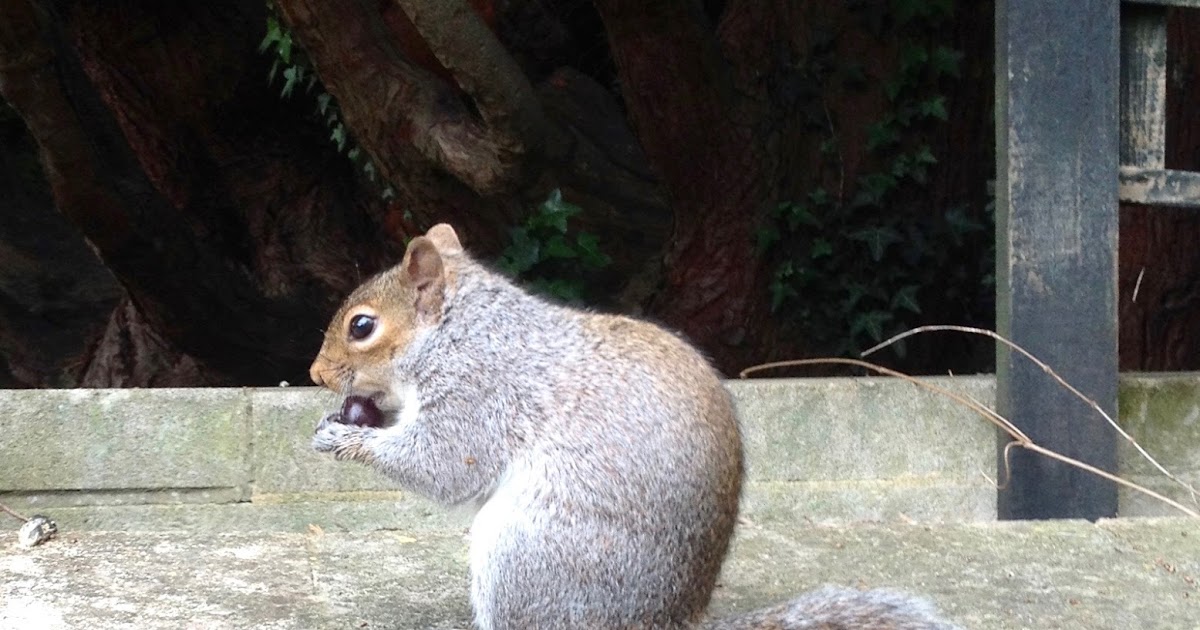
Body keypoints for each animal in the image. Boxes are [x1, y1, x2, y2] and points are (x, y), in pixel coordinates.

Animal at [309, 224, 960, 630]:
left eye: (362, 326)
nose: (315, 373)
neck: (460, 332)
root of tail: (655, 622)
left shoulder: (481, 393)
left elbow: (442, 465)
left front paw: (346, 438)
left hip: (527, 554)